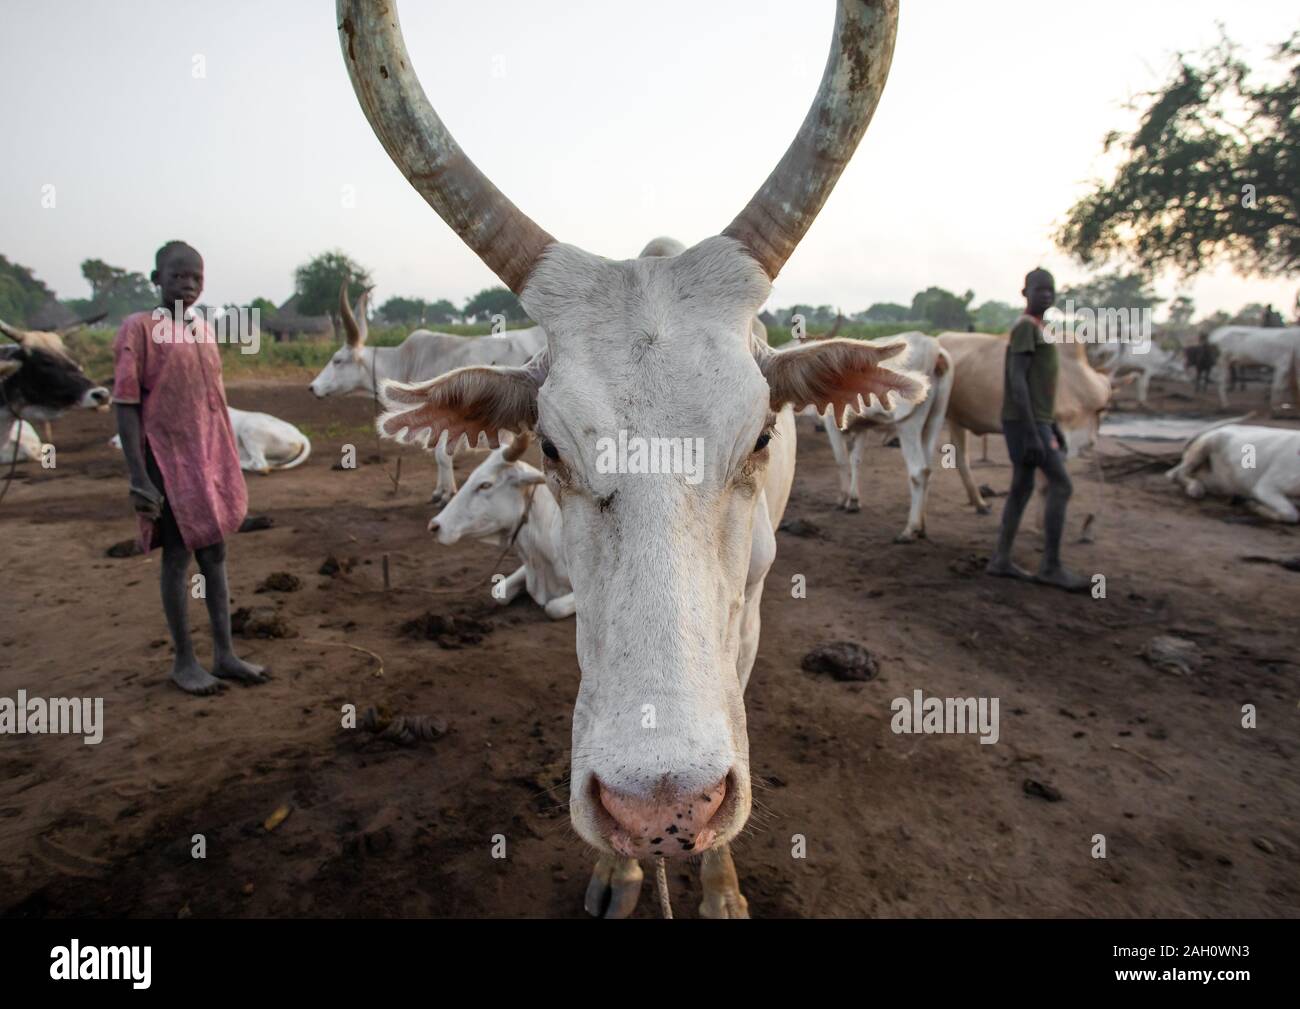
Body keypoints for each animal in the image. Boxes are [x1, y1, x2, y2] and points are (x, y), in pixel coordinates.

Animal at [307, 279, 545, 502]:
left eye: (337, 360)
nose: (312, 387)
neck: (406, 361)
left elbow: (442, 456)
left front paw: (446, 494)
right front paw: (439, 490)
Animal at [821, 332, 954, 542]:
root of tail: (933, 348)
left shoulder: (831, 422)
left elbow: (841, 460)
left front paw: (842, 499)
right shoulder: (862, 426)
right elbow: (856, 460)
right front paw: (853, 501)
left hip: (908, 422)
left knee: (919, 471)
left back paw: (910, 528)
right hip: (935, 419)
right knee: (929, 469)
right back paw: (922, 527)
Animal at [1166, 422, 1300, 523]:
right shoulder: (1266, 485)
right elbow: (1291, 514)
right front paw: (1254, 506)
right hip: (1207, 443)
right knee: (1175, 474)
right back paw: (1195, 489)